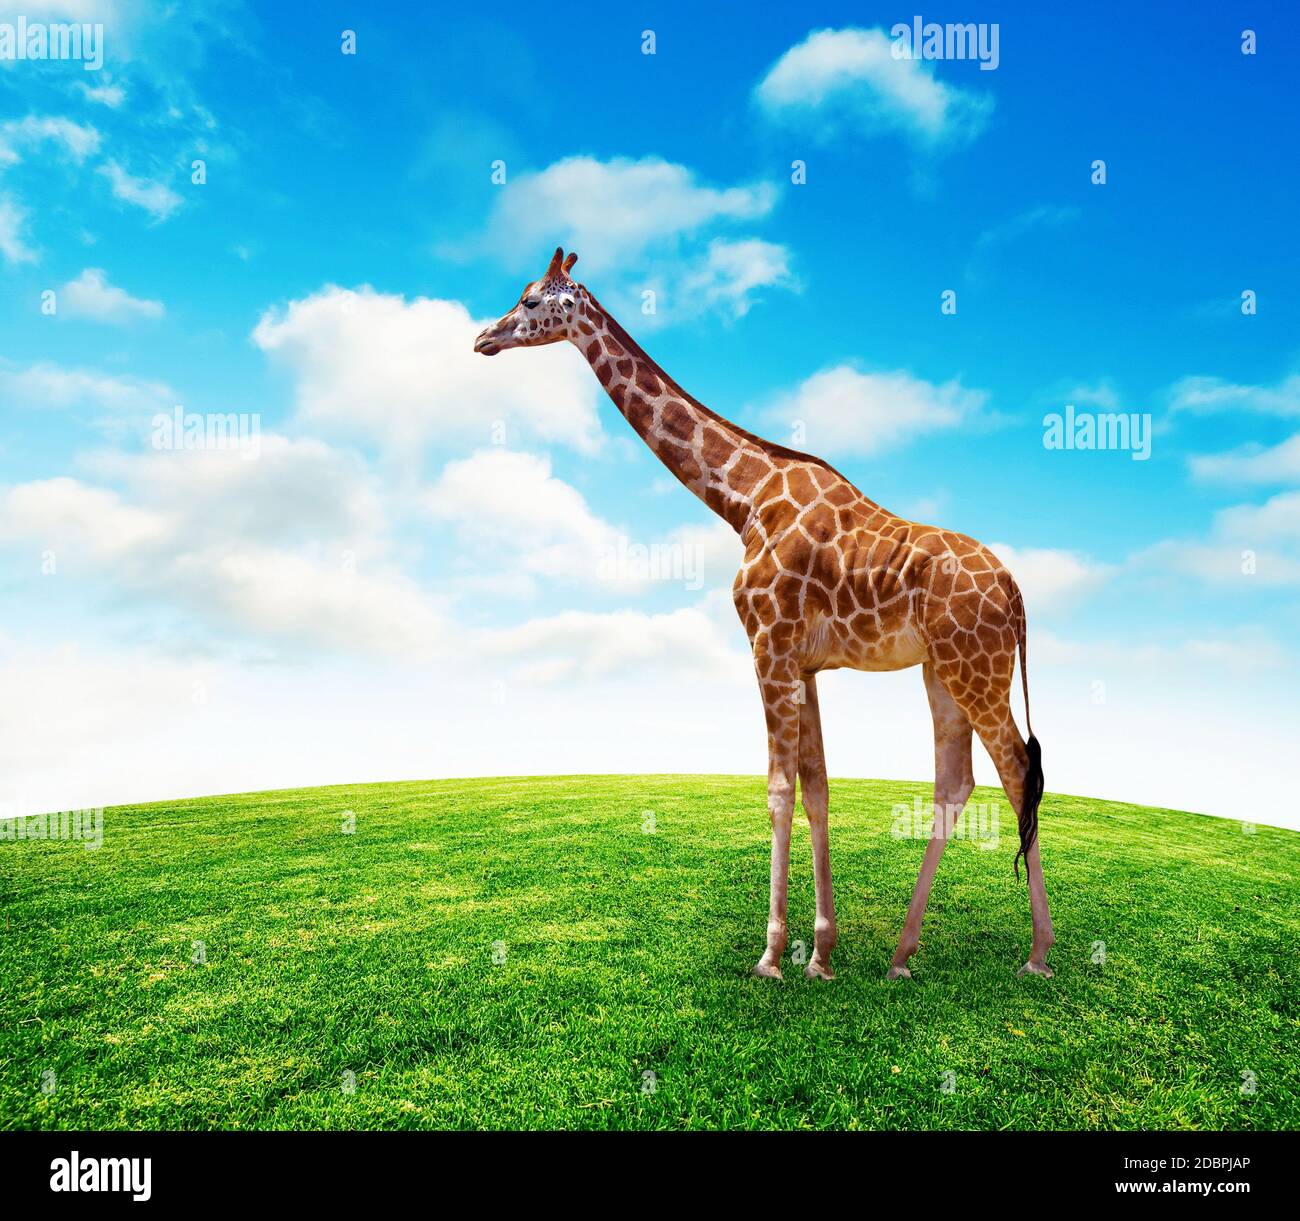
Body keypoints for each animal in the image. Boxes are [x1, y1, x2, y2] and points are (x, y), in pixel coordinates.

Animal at [475, 247, 1054, 982]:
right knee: (958, 782)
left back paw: (1038, 953)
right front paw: (822, 954)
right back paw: (901, 953)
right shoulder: (802, 662)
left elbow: (779, 788)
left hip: (977, 666)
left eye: (528, 299)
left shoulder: (767, 645)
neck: (743, 499)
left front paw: (773, 955)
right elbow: (817, 788)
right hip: (943, 671)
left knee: (1018, 770)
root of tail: (1015, 589)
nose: (483, 337)